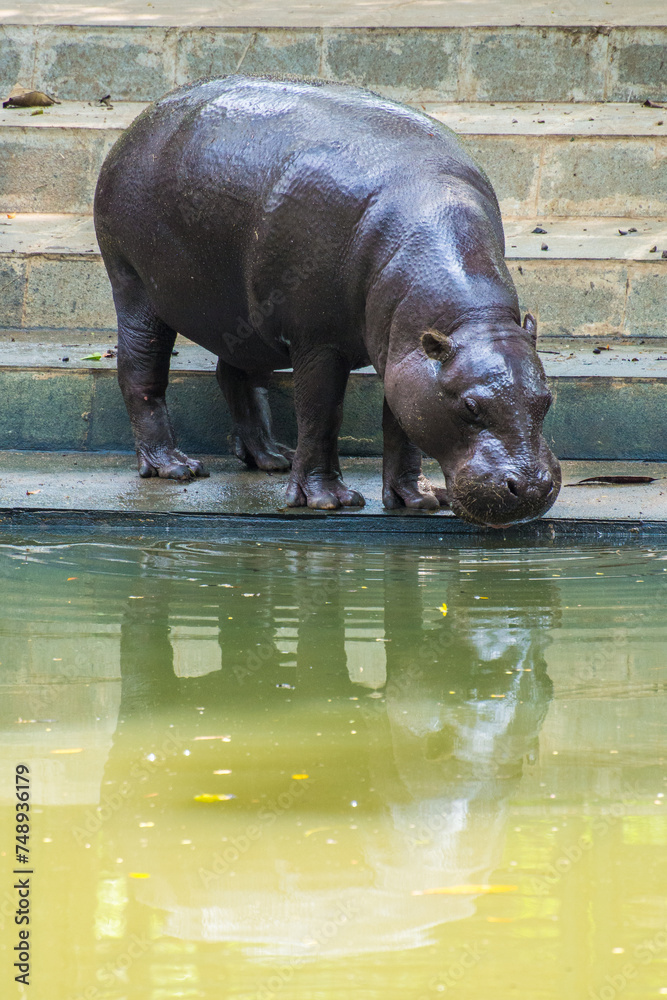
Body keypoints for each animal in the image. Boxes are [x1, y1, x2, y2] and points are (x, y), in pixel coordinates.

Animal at [94, 75, 561, 526]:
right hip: (134, 284)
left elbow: (403, 422)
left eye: (547, 399)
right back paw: (175, 467)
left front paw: (417, 500)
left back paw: (272, 458)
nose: (531, 487)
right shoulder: (319, 341)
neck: (471, 317)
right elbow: (322, 414)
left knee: (236, 374)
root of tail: (136, 125)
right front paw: (327, 500)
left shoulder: (404, 352)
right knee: (141, 373)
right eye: (470, 405)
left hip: (247, 321)